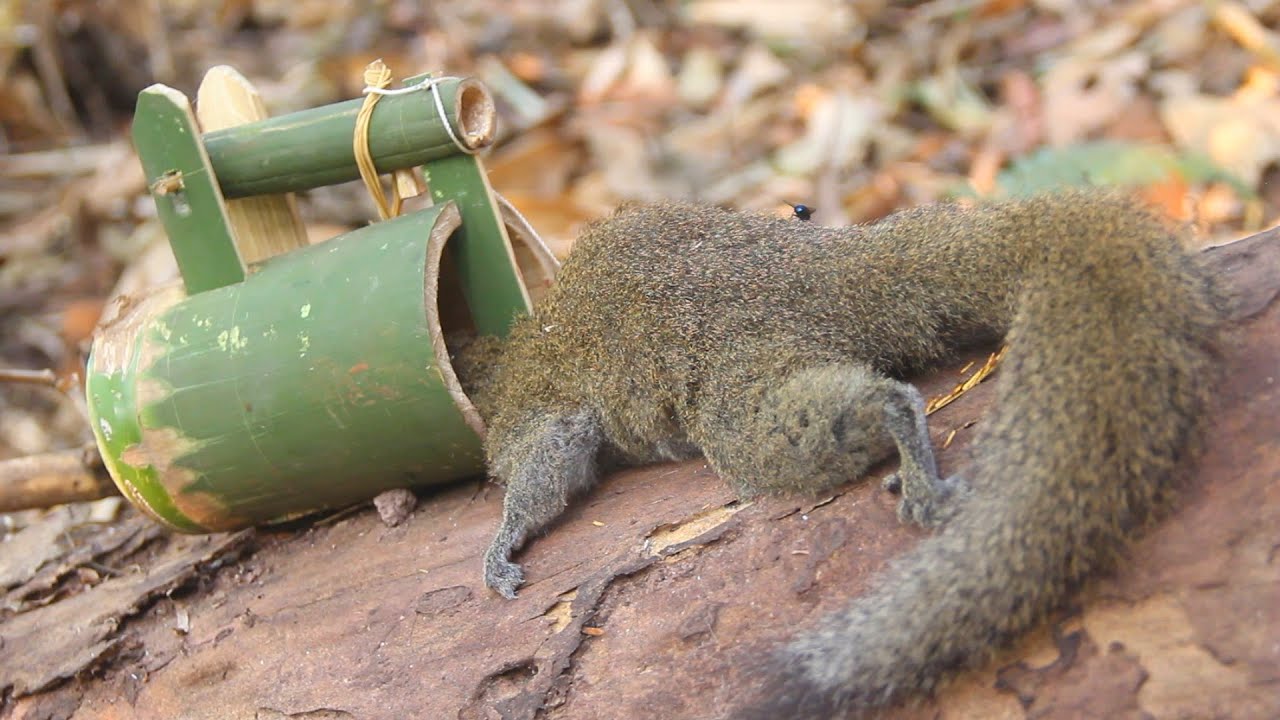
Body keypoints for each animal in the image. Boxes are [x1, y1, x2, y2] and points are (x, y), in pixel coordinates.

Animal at [457, 190, 1223, 717]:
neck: (496, 362)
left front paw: (502, 543)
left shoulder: (528, 420)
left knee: (813, 422)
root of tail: (823, 270)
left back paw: (905, 440)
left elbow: (553, 458)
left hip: (734, 373)